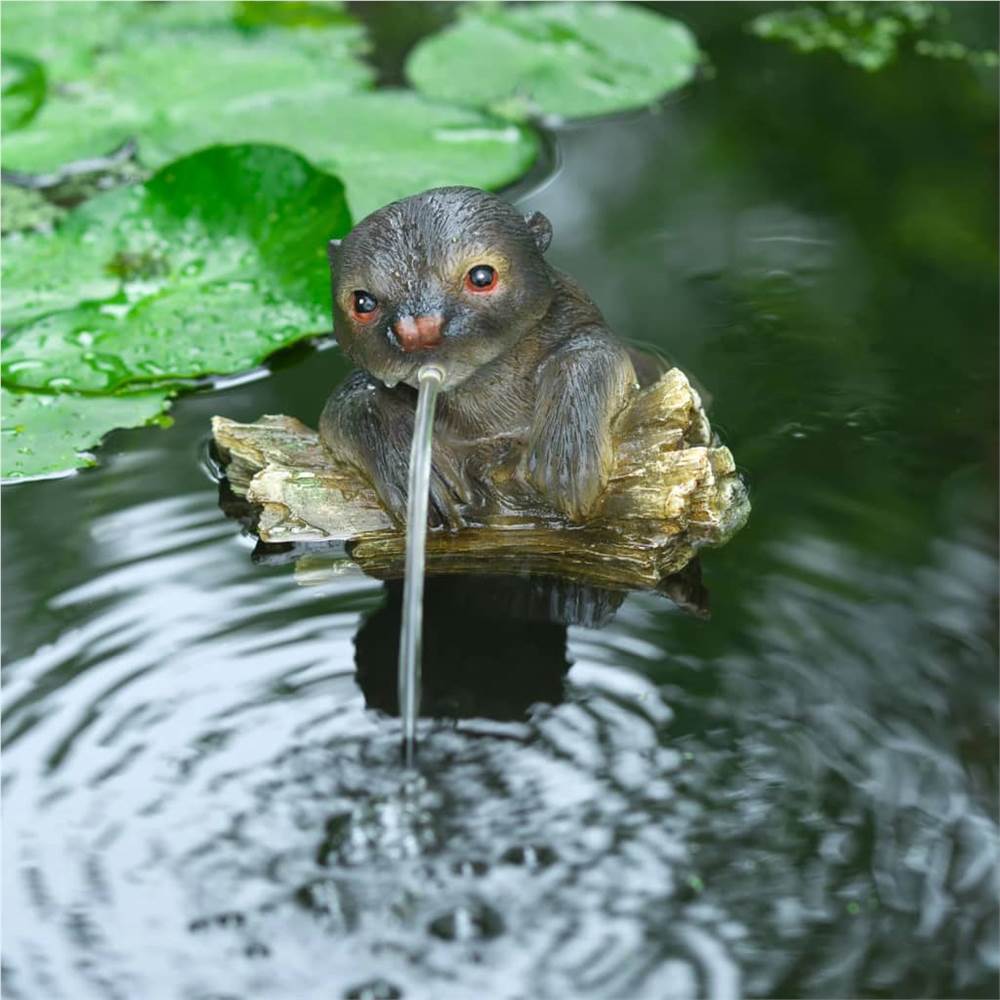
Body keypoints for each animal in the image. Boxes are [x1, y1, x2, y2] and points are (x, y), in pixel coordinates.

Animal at [320, 186, 657, 528]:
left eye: (481, 277)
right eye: (363, 302)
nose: (418, 330)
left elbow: (592, 352)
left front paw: (567, 451)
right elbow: (350, 403)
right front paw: (411, 468)